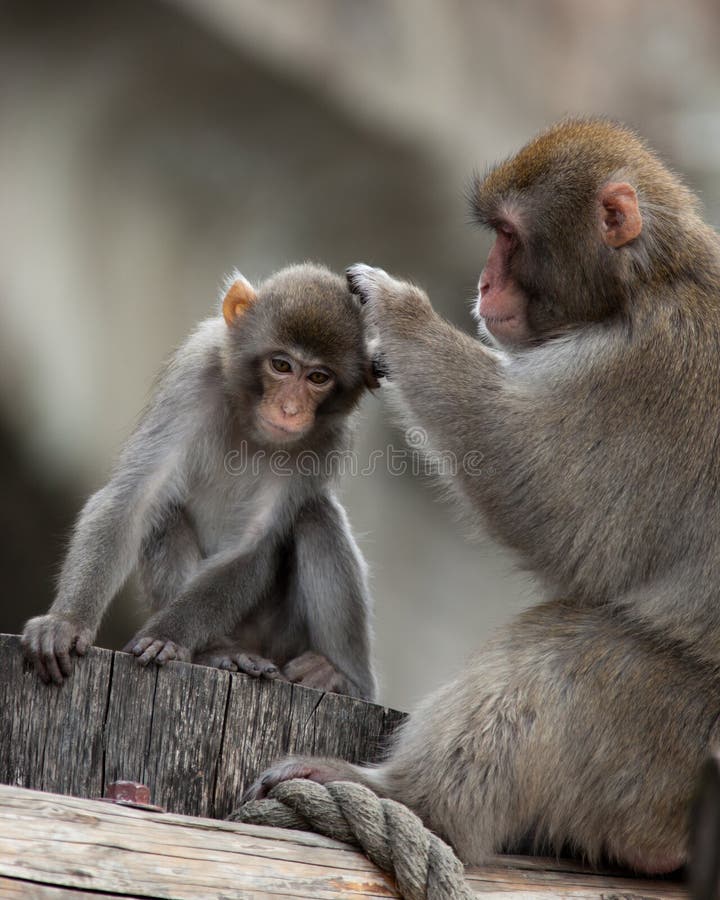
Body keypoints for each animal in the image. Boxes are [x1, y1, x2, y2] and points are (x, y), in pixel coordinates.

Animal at [22, 263, 378, 701]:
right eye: (281, 366)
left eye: (318, 377)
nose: (291, 409)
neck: (249, 420)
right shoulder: (194, 376)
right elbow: (136, 498)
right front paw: (67, 622)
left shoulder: (329, 439)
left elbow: (254, 542)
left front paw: (166, 635)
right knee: (166, 513)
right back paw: (220, 652)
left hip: (283, 638)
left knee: (317, 516)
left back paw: (343, 677)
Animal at [244, 119, 720, 875]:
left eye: (509, 235)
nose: (484, 280)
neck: (647, 283)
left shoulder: (644, 378)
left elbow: (538, 481)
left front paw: (395, 311)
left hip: (667, 749)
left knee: (561, 656)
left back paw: (411, 800)